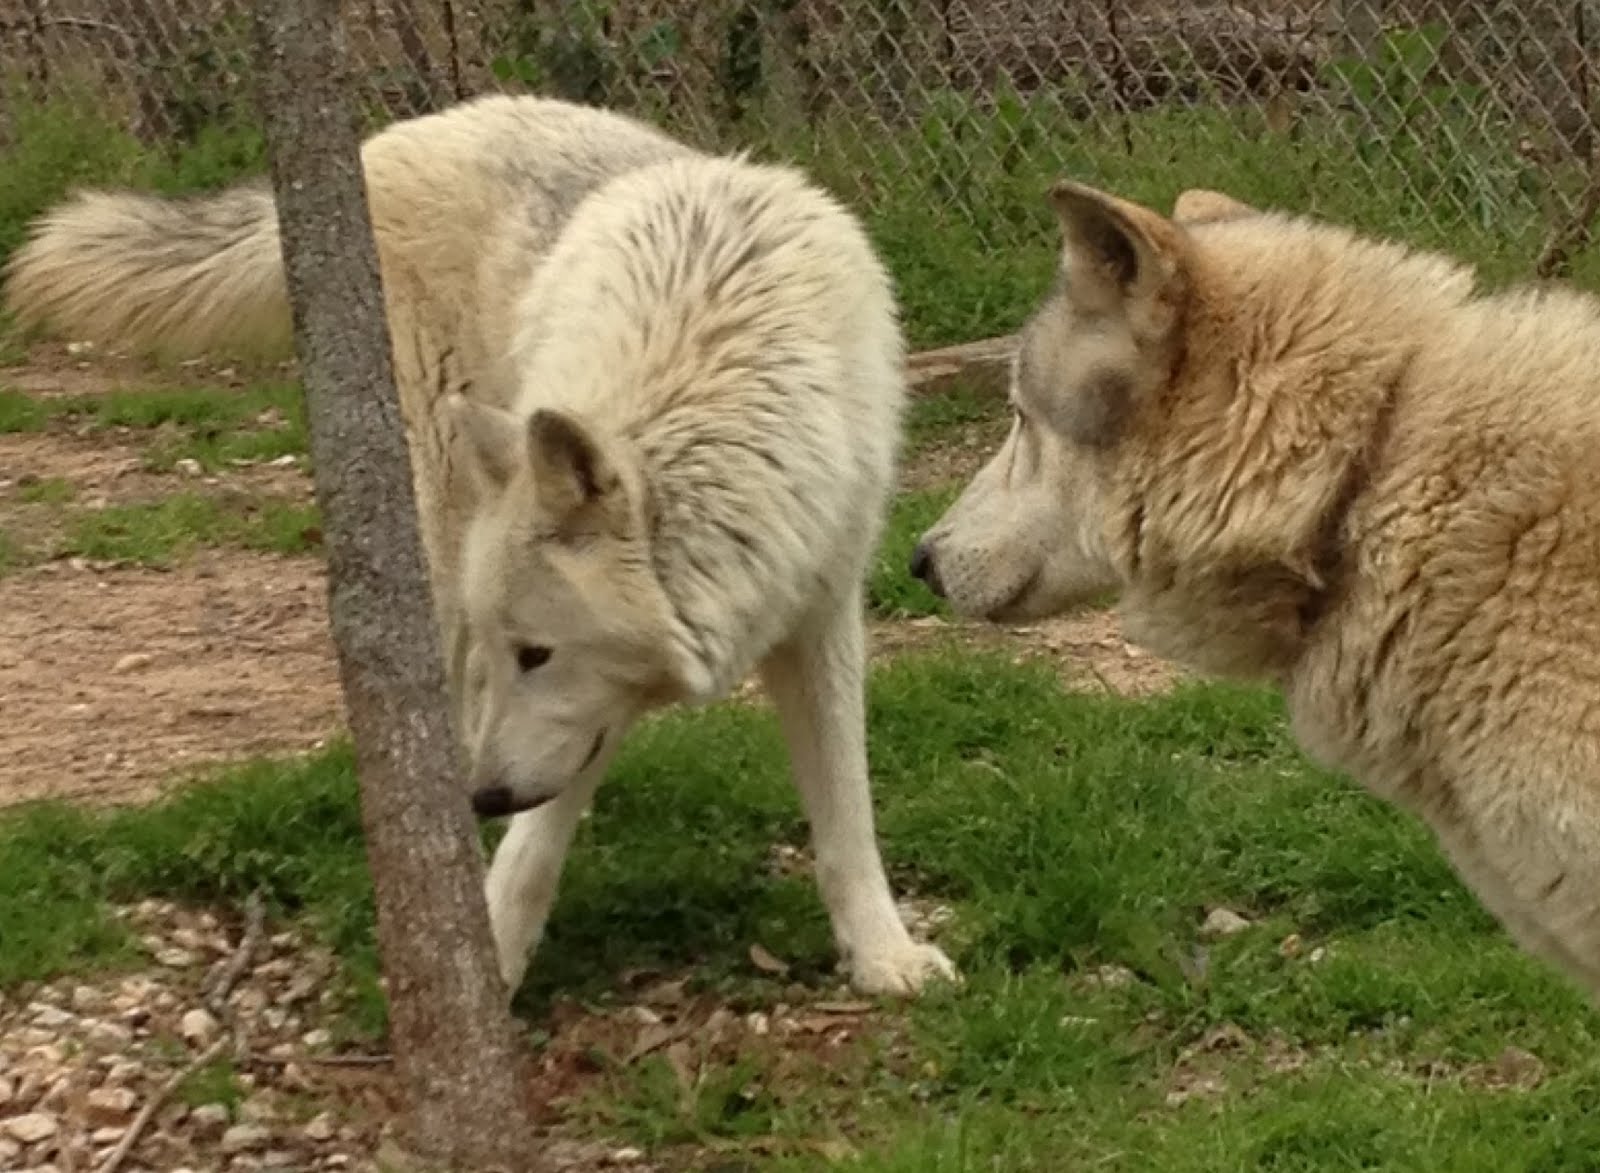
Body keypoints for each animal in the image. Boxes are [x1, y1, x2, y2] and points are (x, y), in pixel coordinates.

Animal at [8, 94, 955, 998]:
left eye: (538, 652)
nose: (487, 792)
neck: (721, 361)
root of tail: (385, 140)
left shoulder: (822, 609)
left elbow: (847, 810)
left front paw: (884, 956)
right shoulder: (577, 704)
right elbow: (536, 843)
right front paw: (489, 957)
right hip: (433, 535)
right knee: (434, 695)